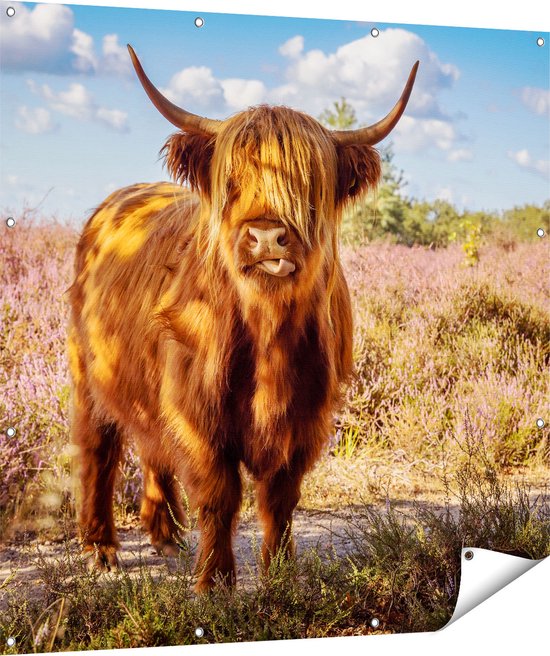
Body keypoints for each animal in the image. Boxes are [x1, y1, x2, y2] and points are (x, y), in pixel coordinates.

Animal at [68, 44, 418, 590]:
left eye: (308, 184)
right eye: (232, 181)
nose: (267, 236)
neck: (267, 334)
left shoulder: (306, 416)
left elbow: (280, 498)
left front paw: (280, 574)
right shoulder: (198, 413)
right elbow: (219, 495)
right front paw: (214, 582)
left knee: (151, 446)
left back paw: (166, 535)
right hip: (89, 374)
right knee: (98, 449)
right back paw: (101, 548)